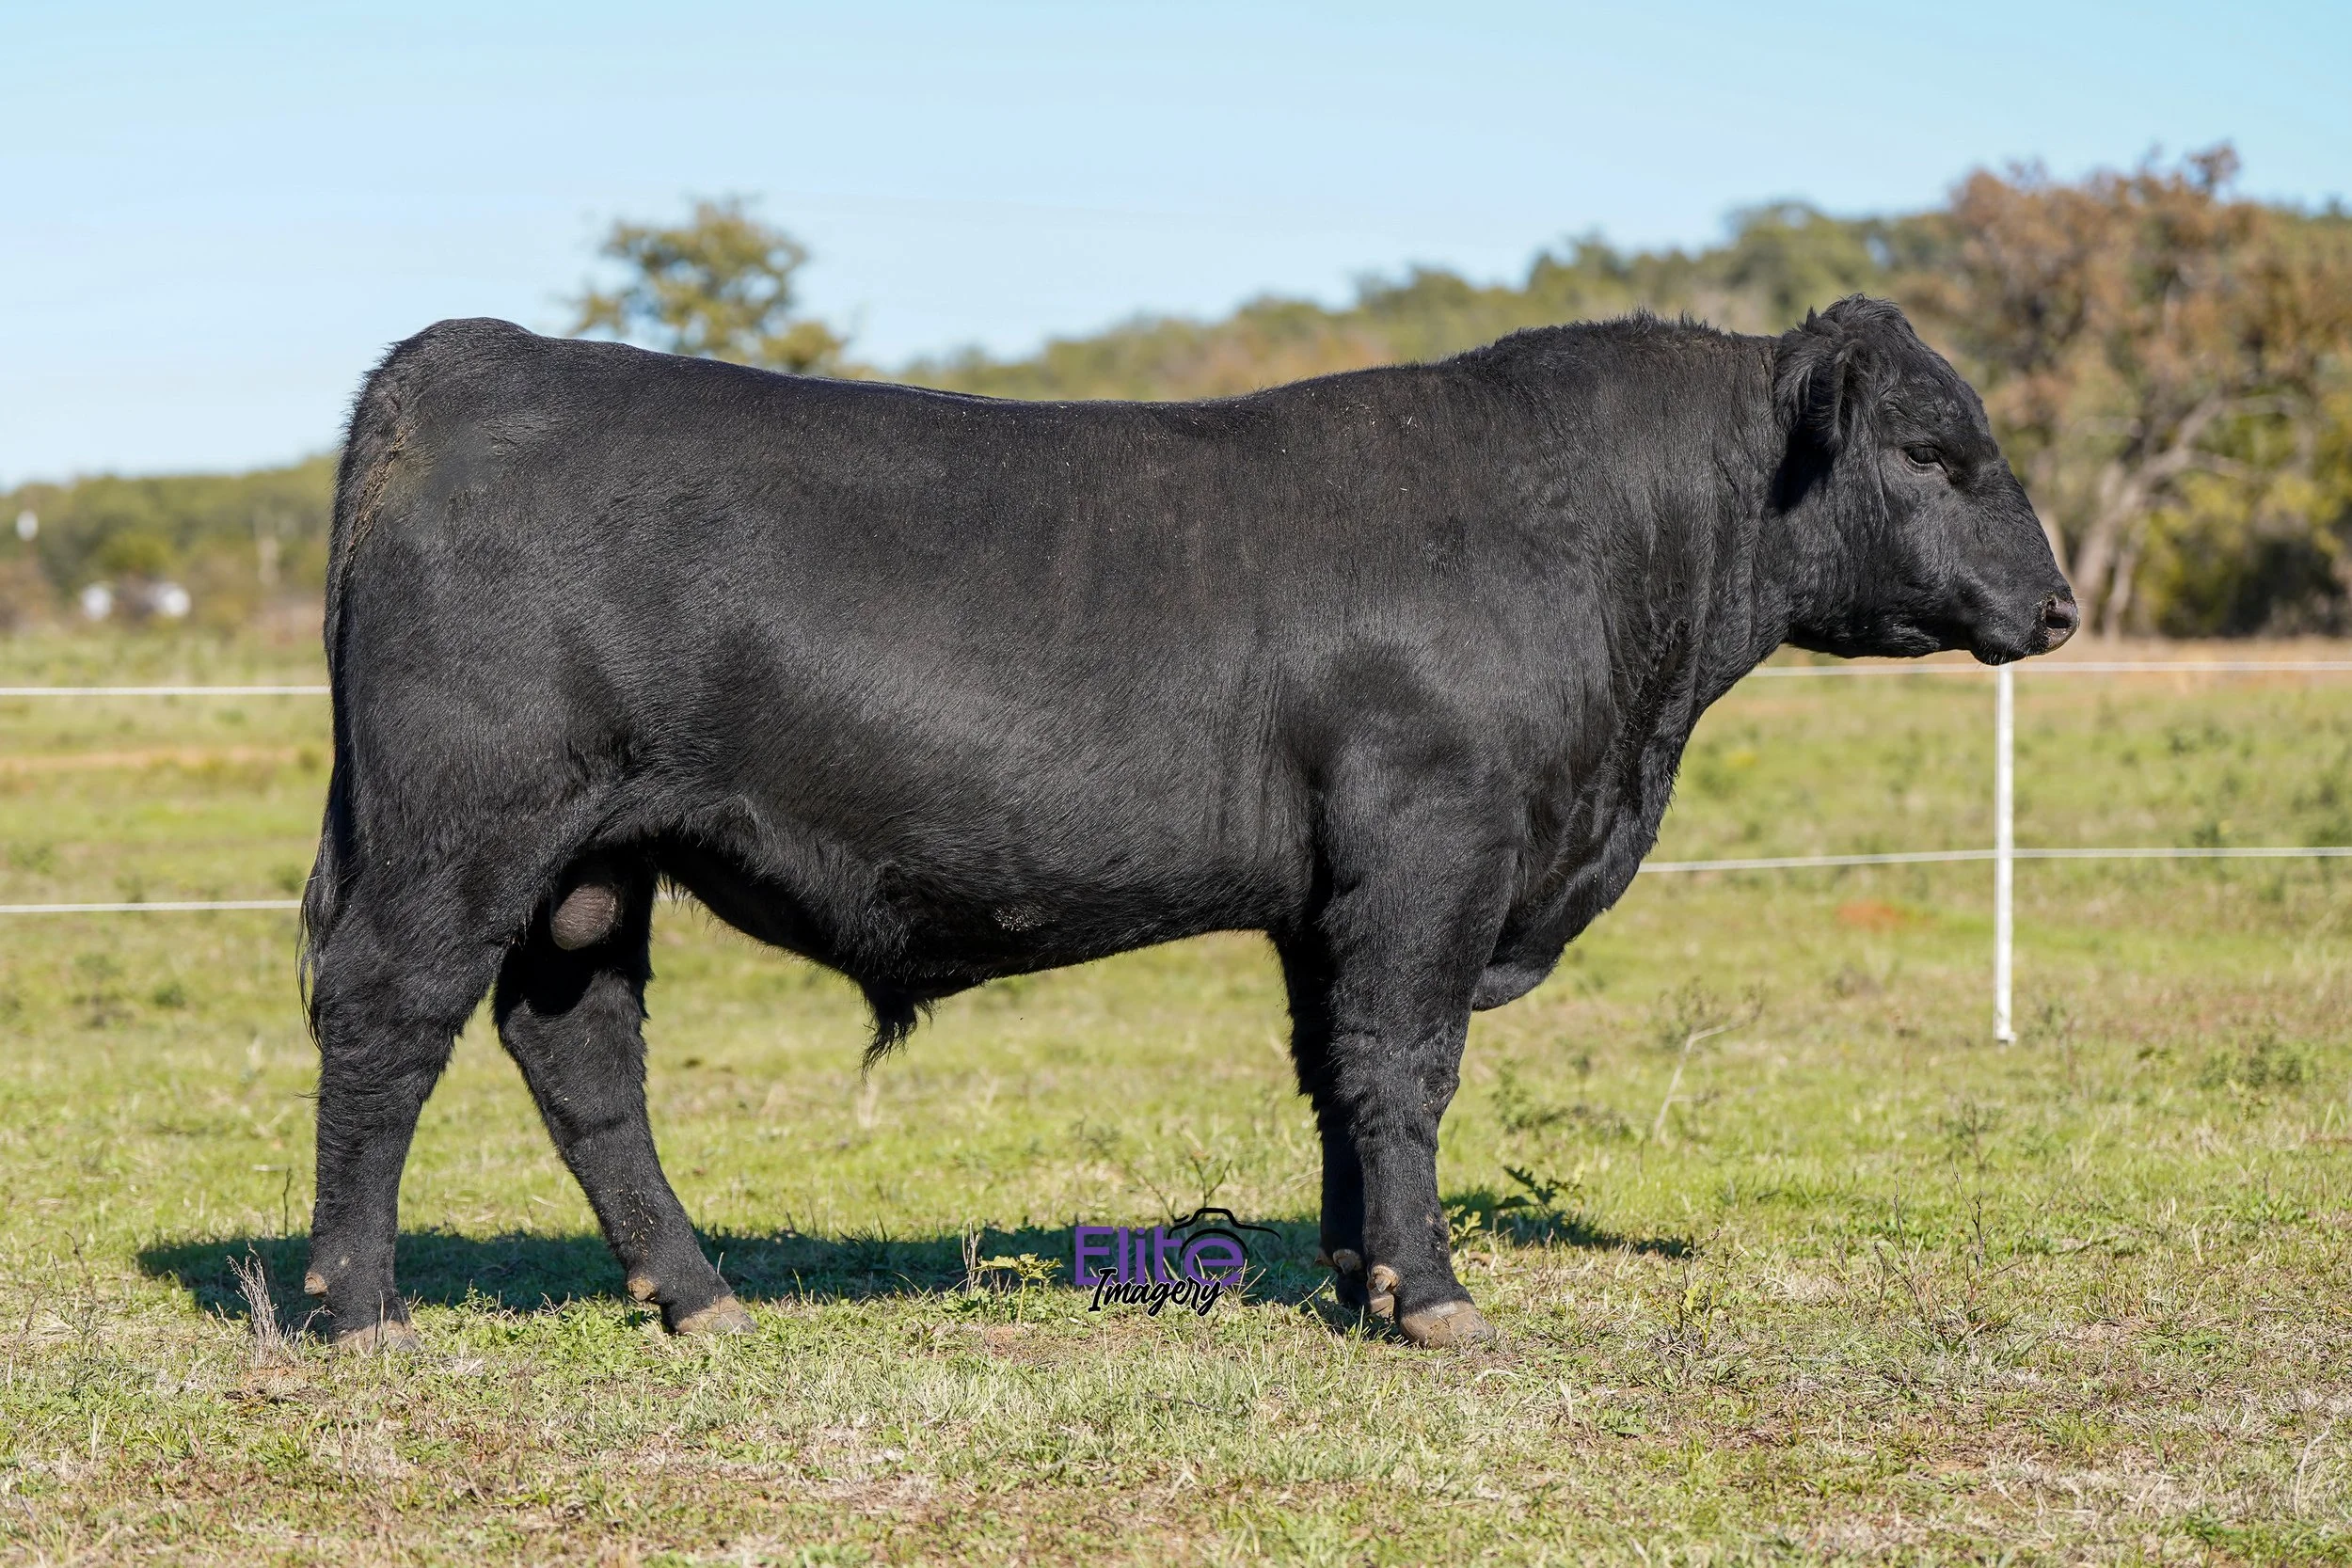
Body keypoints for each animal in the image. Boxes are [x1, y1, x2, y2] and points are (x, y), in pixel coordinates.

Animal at [299, 296, 2076, 1350]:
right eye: (1932, 450)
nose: (2057, 608)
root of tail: (469, 354)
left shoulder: (1332, 888)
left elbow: (1338, 1077)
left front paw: (1361, 1275)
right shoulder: (1435, 844)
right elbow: (1405, 1064)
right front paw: (1435, 1297)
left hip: (592, 868)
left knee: (580, 1051)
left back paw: (698, 1297)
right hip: (462, 827)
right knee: (383, 1020)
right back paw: (359, 1308)